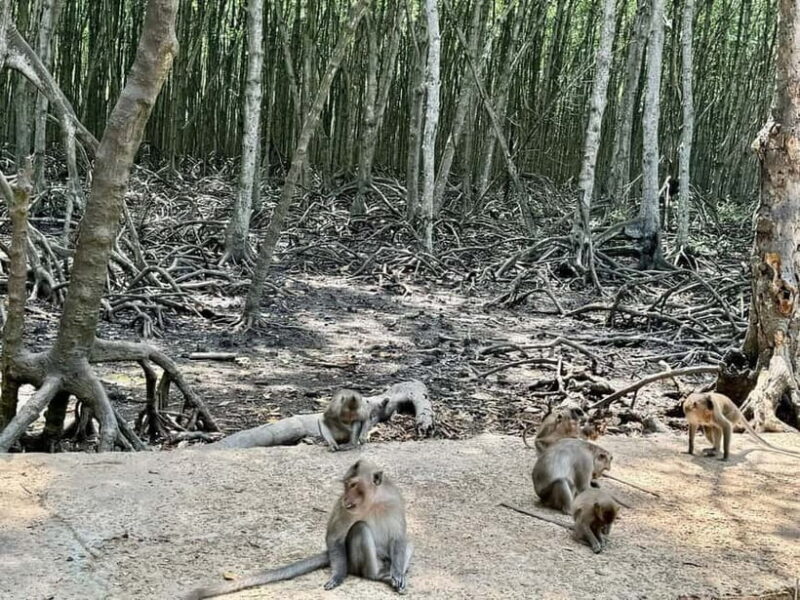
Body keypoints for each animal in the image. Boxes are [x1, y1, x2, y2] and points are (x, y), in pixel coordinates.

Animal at [185, 460, 412, 599]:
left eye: (354, 485)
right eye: (346, 485)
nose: (346, 497)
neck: (373, 502)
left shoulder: (394, 500)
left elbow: (399, 538)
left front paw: (398, 573)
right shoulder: (344, 510)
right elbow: (334, 537)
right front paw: (338, 576)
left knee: (408, 543)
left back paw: (394, 572)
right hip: (358, 560)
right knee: (360, 529)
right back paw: (377, 575)